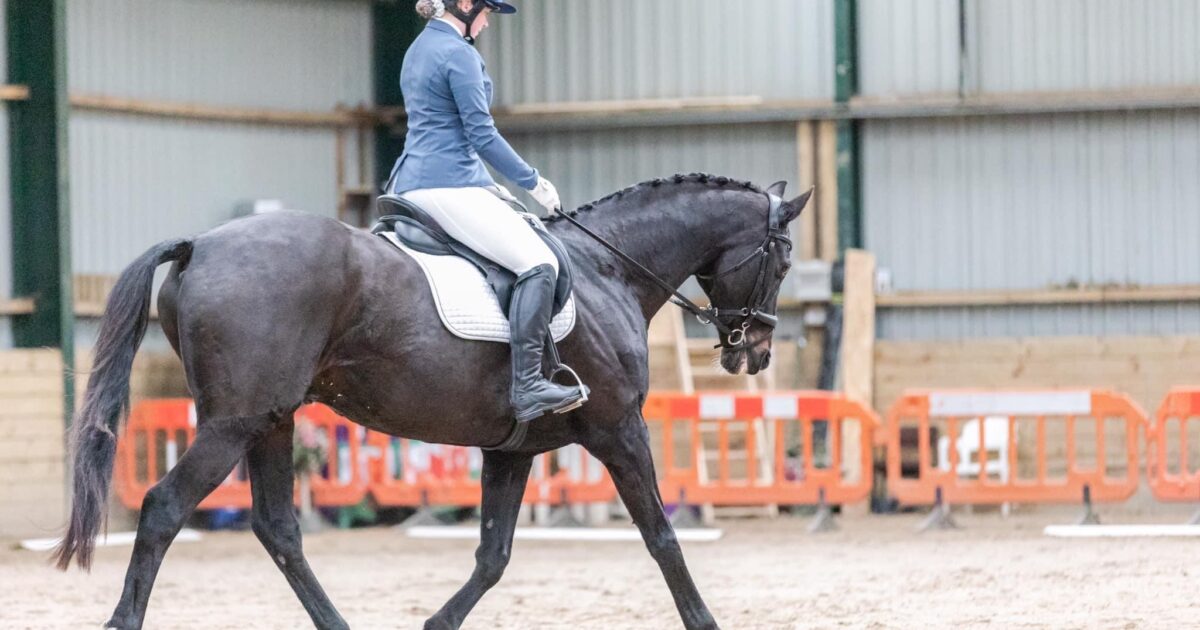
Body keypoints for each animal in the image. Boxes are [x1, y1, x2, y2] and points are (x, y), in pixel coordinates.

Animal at [54, 173, 811, 630]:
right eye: (783, 259)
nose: (753, 353)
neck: (609, 270)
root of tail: (199, 247)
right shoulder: (619, 430)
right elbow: (661, 537)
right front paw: (704, 620)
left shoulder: (515, 450)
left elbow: (493, 553)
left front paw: (437, 623)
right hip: (232, 425)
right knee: (163, 508)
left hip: (269, 421)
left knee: (278, 530)